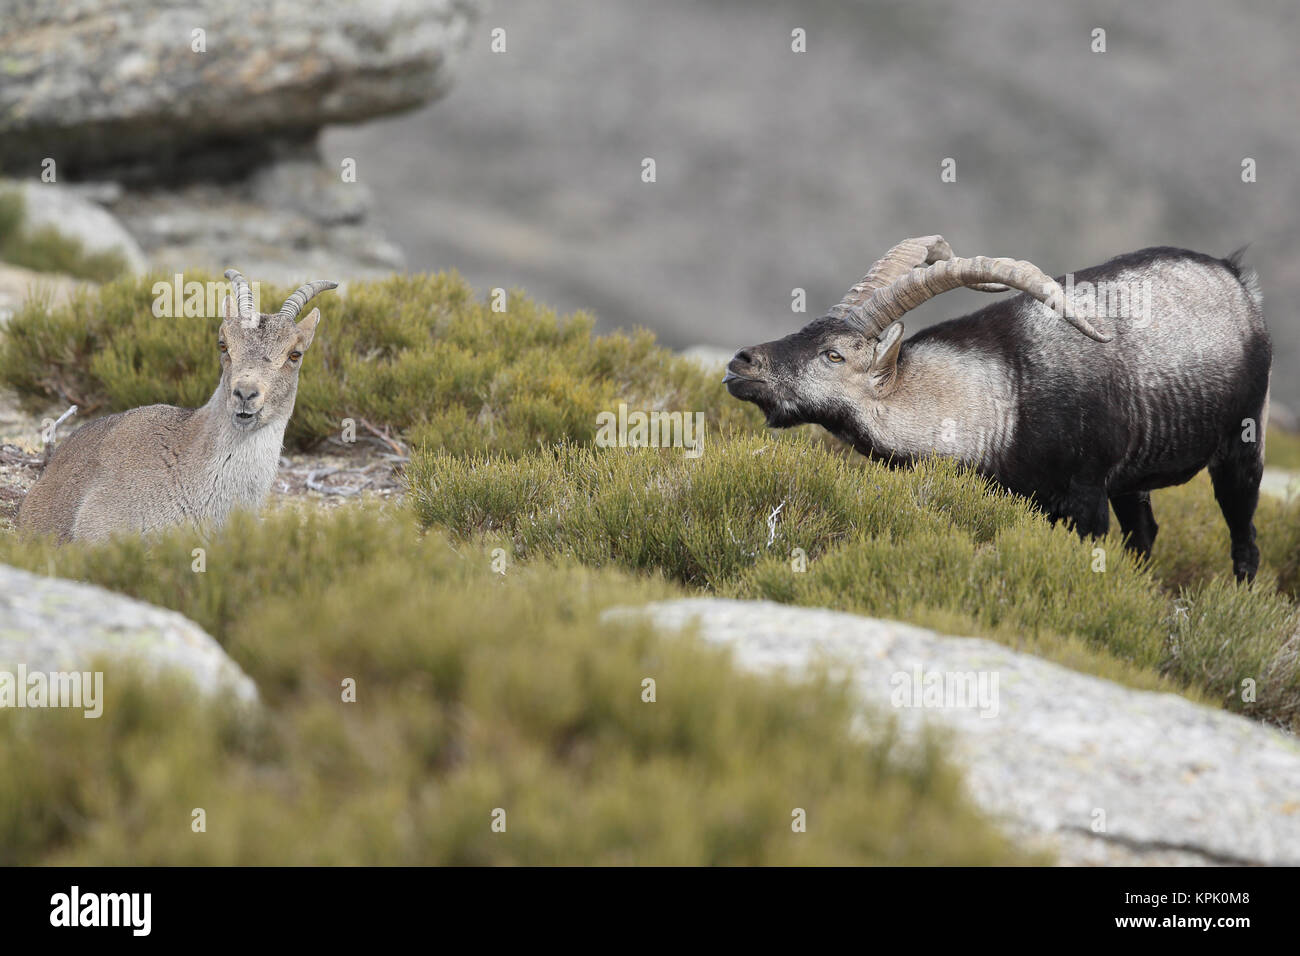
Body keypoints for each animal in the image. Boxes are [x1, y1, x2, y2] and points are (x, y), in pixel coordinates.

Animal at [724, 236, 1271, 581]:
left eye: (834, 354)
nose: (740, 363)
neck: (1004, 397)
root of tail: (1238, 280)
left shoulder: (1086, 495)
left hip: (1242, 445)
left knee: (1245, 540)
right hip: (1132, 480)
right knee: (1145, 533)